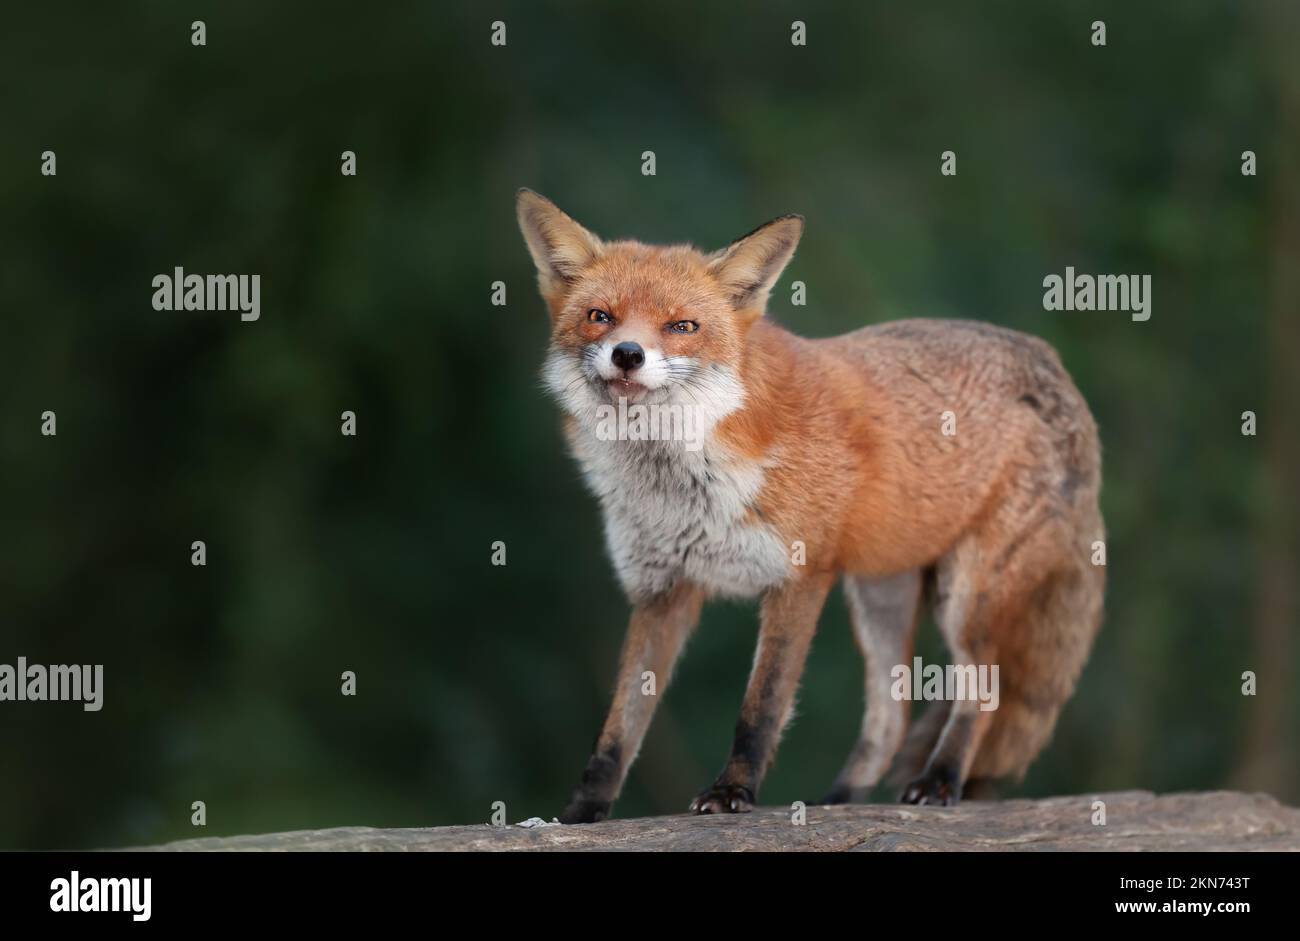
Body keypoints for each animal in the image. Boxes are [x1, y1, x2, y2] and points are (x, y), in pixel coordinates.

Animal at [516, 188, 1105, 823]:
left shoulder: (799, 577)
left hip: (966, 597)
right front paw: (581, 813)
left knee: (982, 690)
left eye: (682, 326)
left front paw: (733, 793)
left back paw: (940, 780)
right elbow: (620, 726)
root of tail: (1058, 370)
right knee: (890, 718)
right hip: (880, 595)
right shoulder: (661, 590)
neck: (682, 485)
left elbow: (762, 708)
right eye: (600, 316)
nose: (628, 354)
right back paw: (839, 802)